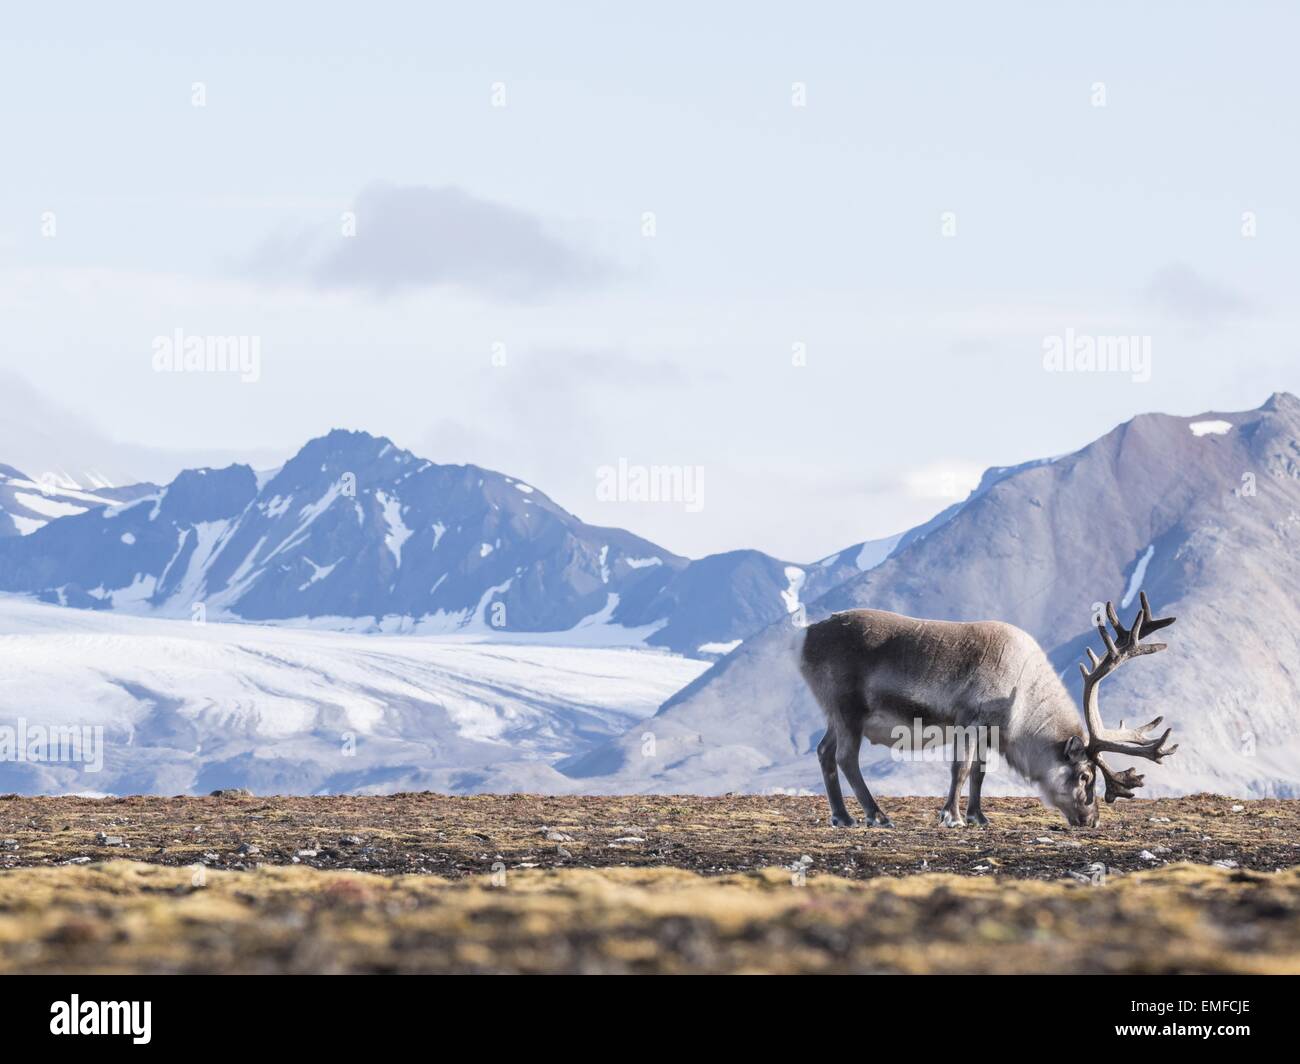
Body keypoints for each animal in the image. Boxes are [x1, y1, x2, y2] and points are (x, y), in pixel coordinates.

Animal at [798, 590, 1177, 828]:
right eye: (1085, 775)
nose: (1092, 819)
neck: (1022, 696)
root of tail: (804, 638)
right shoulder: (969, 721)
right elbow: (961, 768)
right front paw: (951, 817)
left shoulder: (989, 732)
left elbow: (980, 772)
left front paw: (978, 817)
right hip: (847, 710)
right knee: (846, 757)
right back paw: (877, 816)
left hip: (836, 715)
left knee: (823, 751)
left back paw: (843, 817)